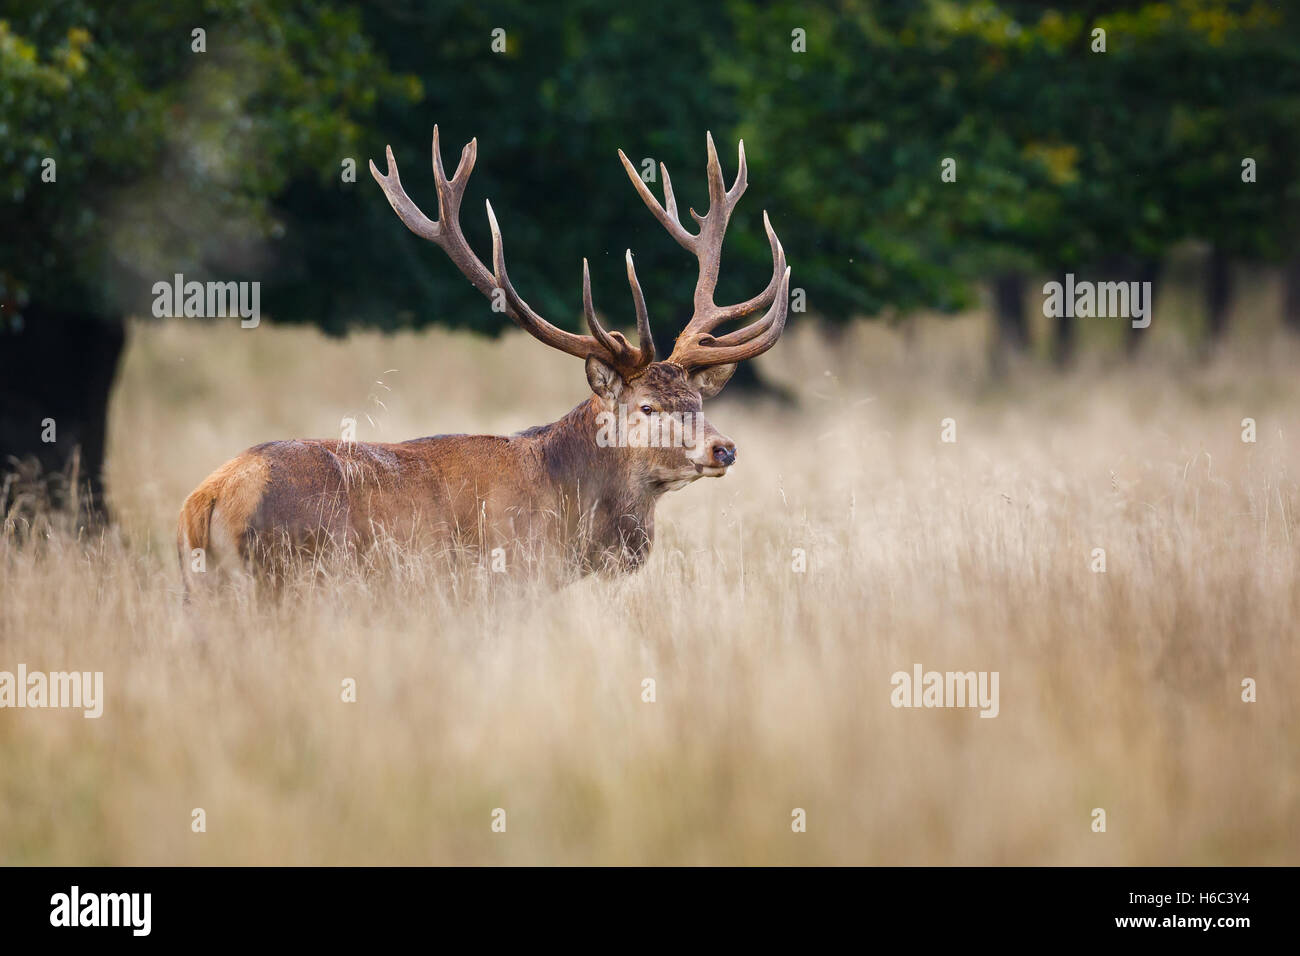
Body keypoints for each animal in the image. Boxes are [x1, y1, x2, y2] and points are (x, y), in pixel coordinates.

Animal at [177, 126, 790, 586]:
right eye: (647, 408)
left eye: (697, 400)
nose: (724, 448)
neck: (568, 521)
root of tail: (205, 501)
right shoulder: (503, 581)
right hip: (285, 580)